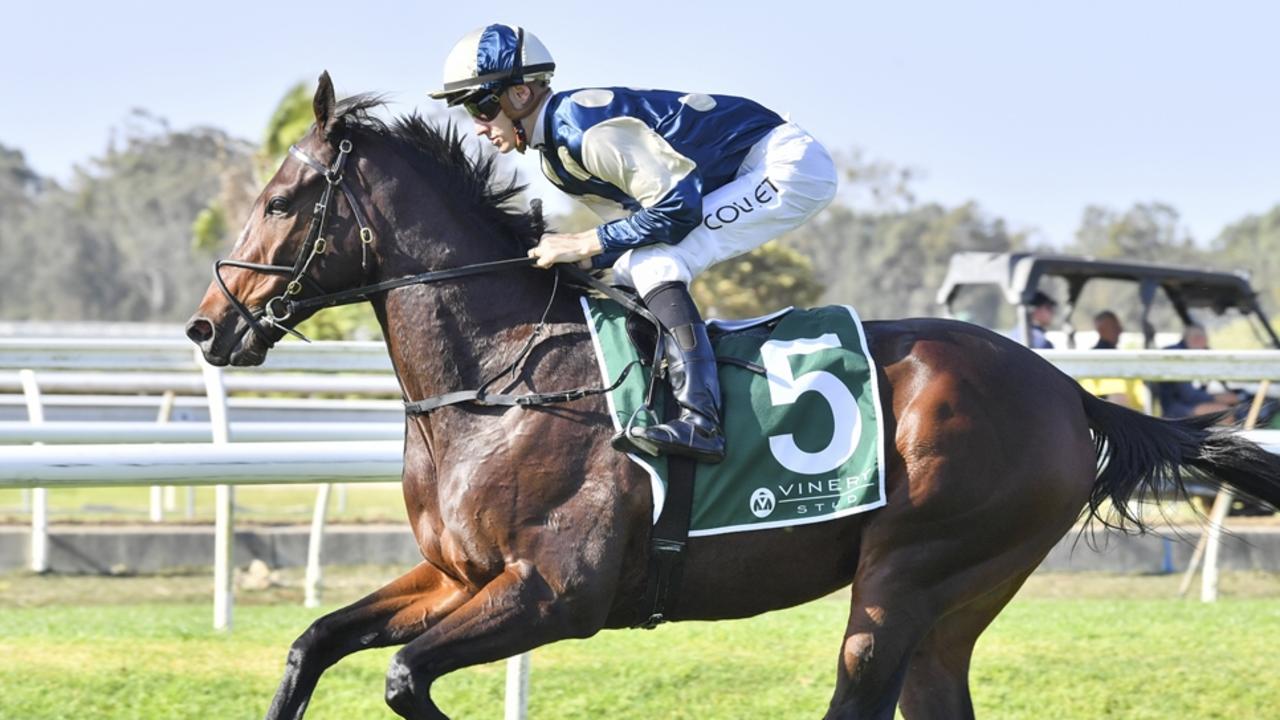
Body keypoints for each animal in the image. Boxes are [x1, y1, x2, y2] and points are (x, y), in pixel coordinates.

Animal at [186, 73, 1280, 720]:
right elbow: (313, 643)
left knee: (859, 692)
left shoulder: (556, 592)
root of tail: (1066, 393)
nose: (206, 326)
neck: (497, 383)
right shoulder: (458, 575)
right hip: (957, 599)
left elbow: (405, 677)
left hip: (910, 573)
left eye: (282, 200)